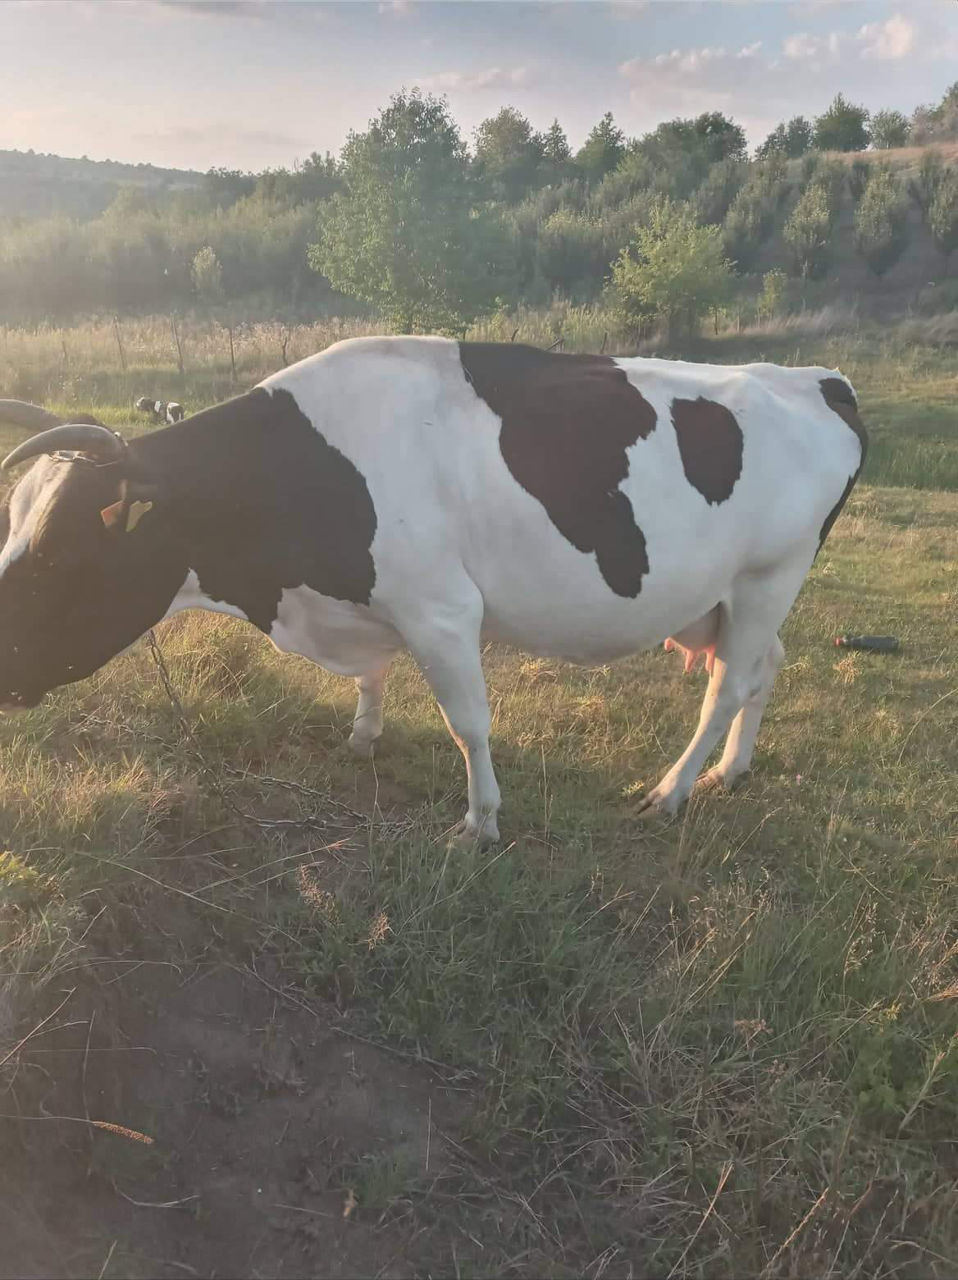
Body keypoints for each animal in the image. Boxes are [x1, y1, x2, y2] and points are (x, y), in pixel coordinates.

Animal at [0, 338, 866, 842]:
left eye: (55, 555)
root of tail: (817, 379)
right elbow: (376, 679)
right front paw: (364, 733)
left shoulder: (443, 611)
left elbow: (468, 725)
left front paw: (480, 822)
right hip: (734, 595)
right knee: (766, 668)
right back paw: (730, 772)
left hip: (768, 574)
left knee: (727, 686)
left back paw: (673, 790)